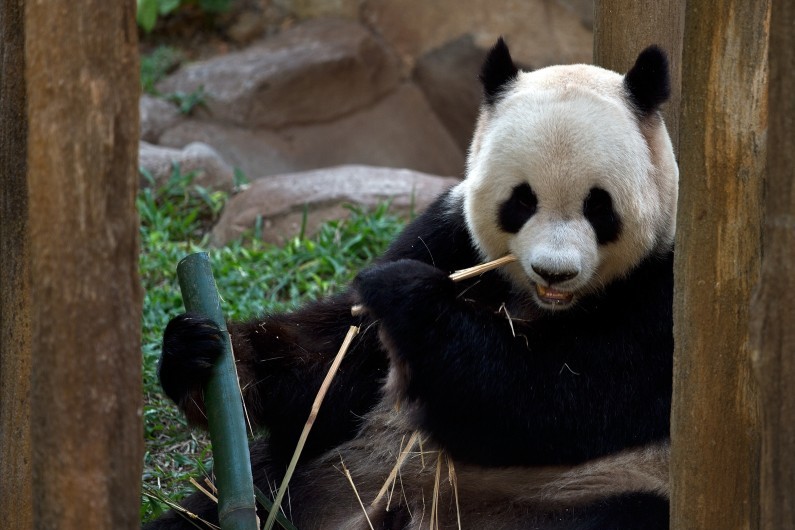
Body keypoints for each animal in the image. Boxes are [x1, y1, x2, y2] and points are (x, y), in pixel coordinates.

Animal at [148, 38, 677, 530]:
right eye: (522, 200)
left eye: (598, 205)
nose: (555, 272)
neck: (542, 305)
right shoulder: (449, 235)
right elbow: (335, 366)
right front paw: (202, 352)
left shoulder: (663, 296)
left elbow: (552, 395)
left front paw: (407, 295)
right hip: (324, 472)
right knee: (236, 495)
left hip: (586, 491)